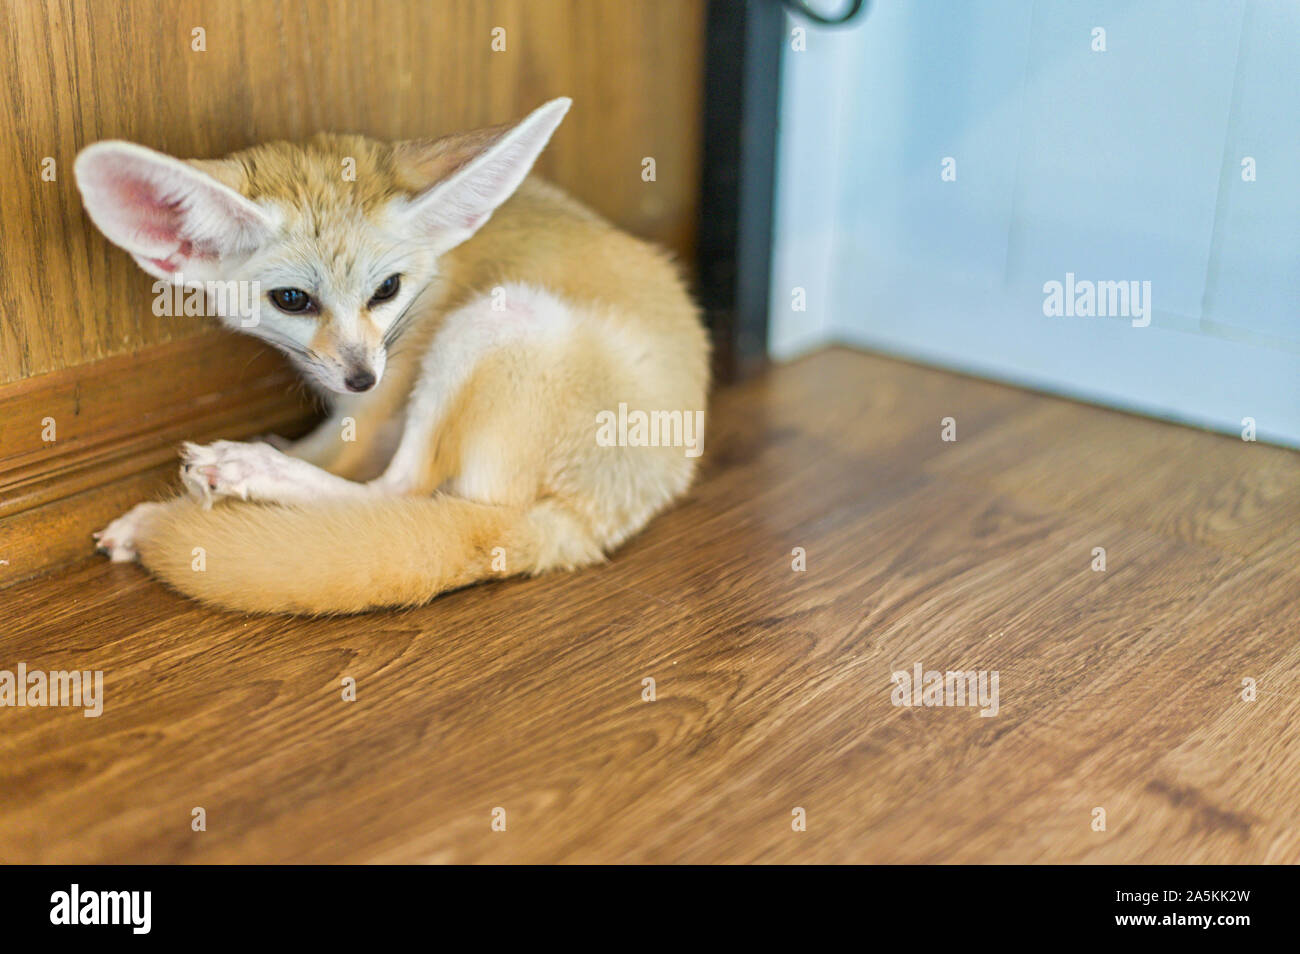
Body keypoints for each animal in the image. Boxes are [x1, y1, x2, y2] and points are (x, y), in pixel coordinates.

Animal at [74, 98, 709, 614]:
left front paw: (246, 471)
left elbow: (350, 464)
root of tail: (588, 527)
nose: (362, 379)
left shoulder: (379, 400)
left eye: (386, 289)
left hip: (494, 321)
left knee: (398, 491)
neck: (437, 267)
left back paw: (253, 470)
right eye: (292, 300)